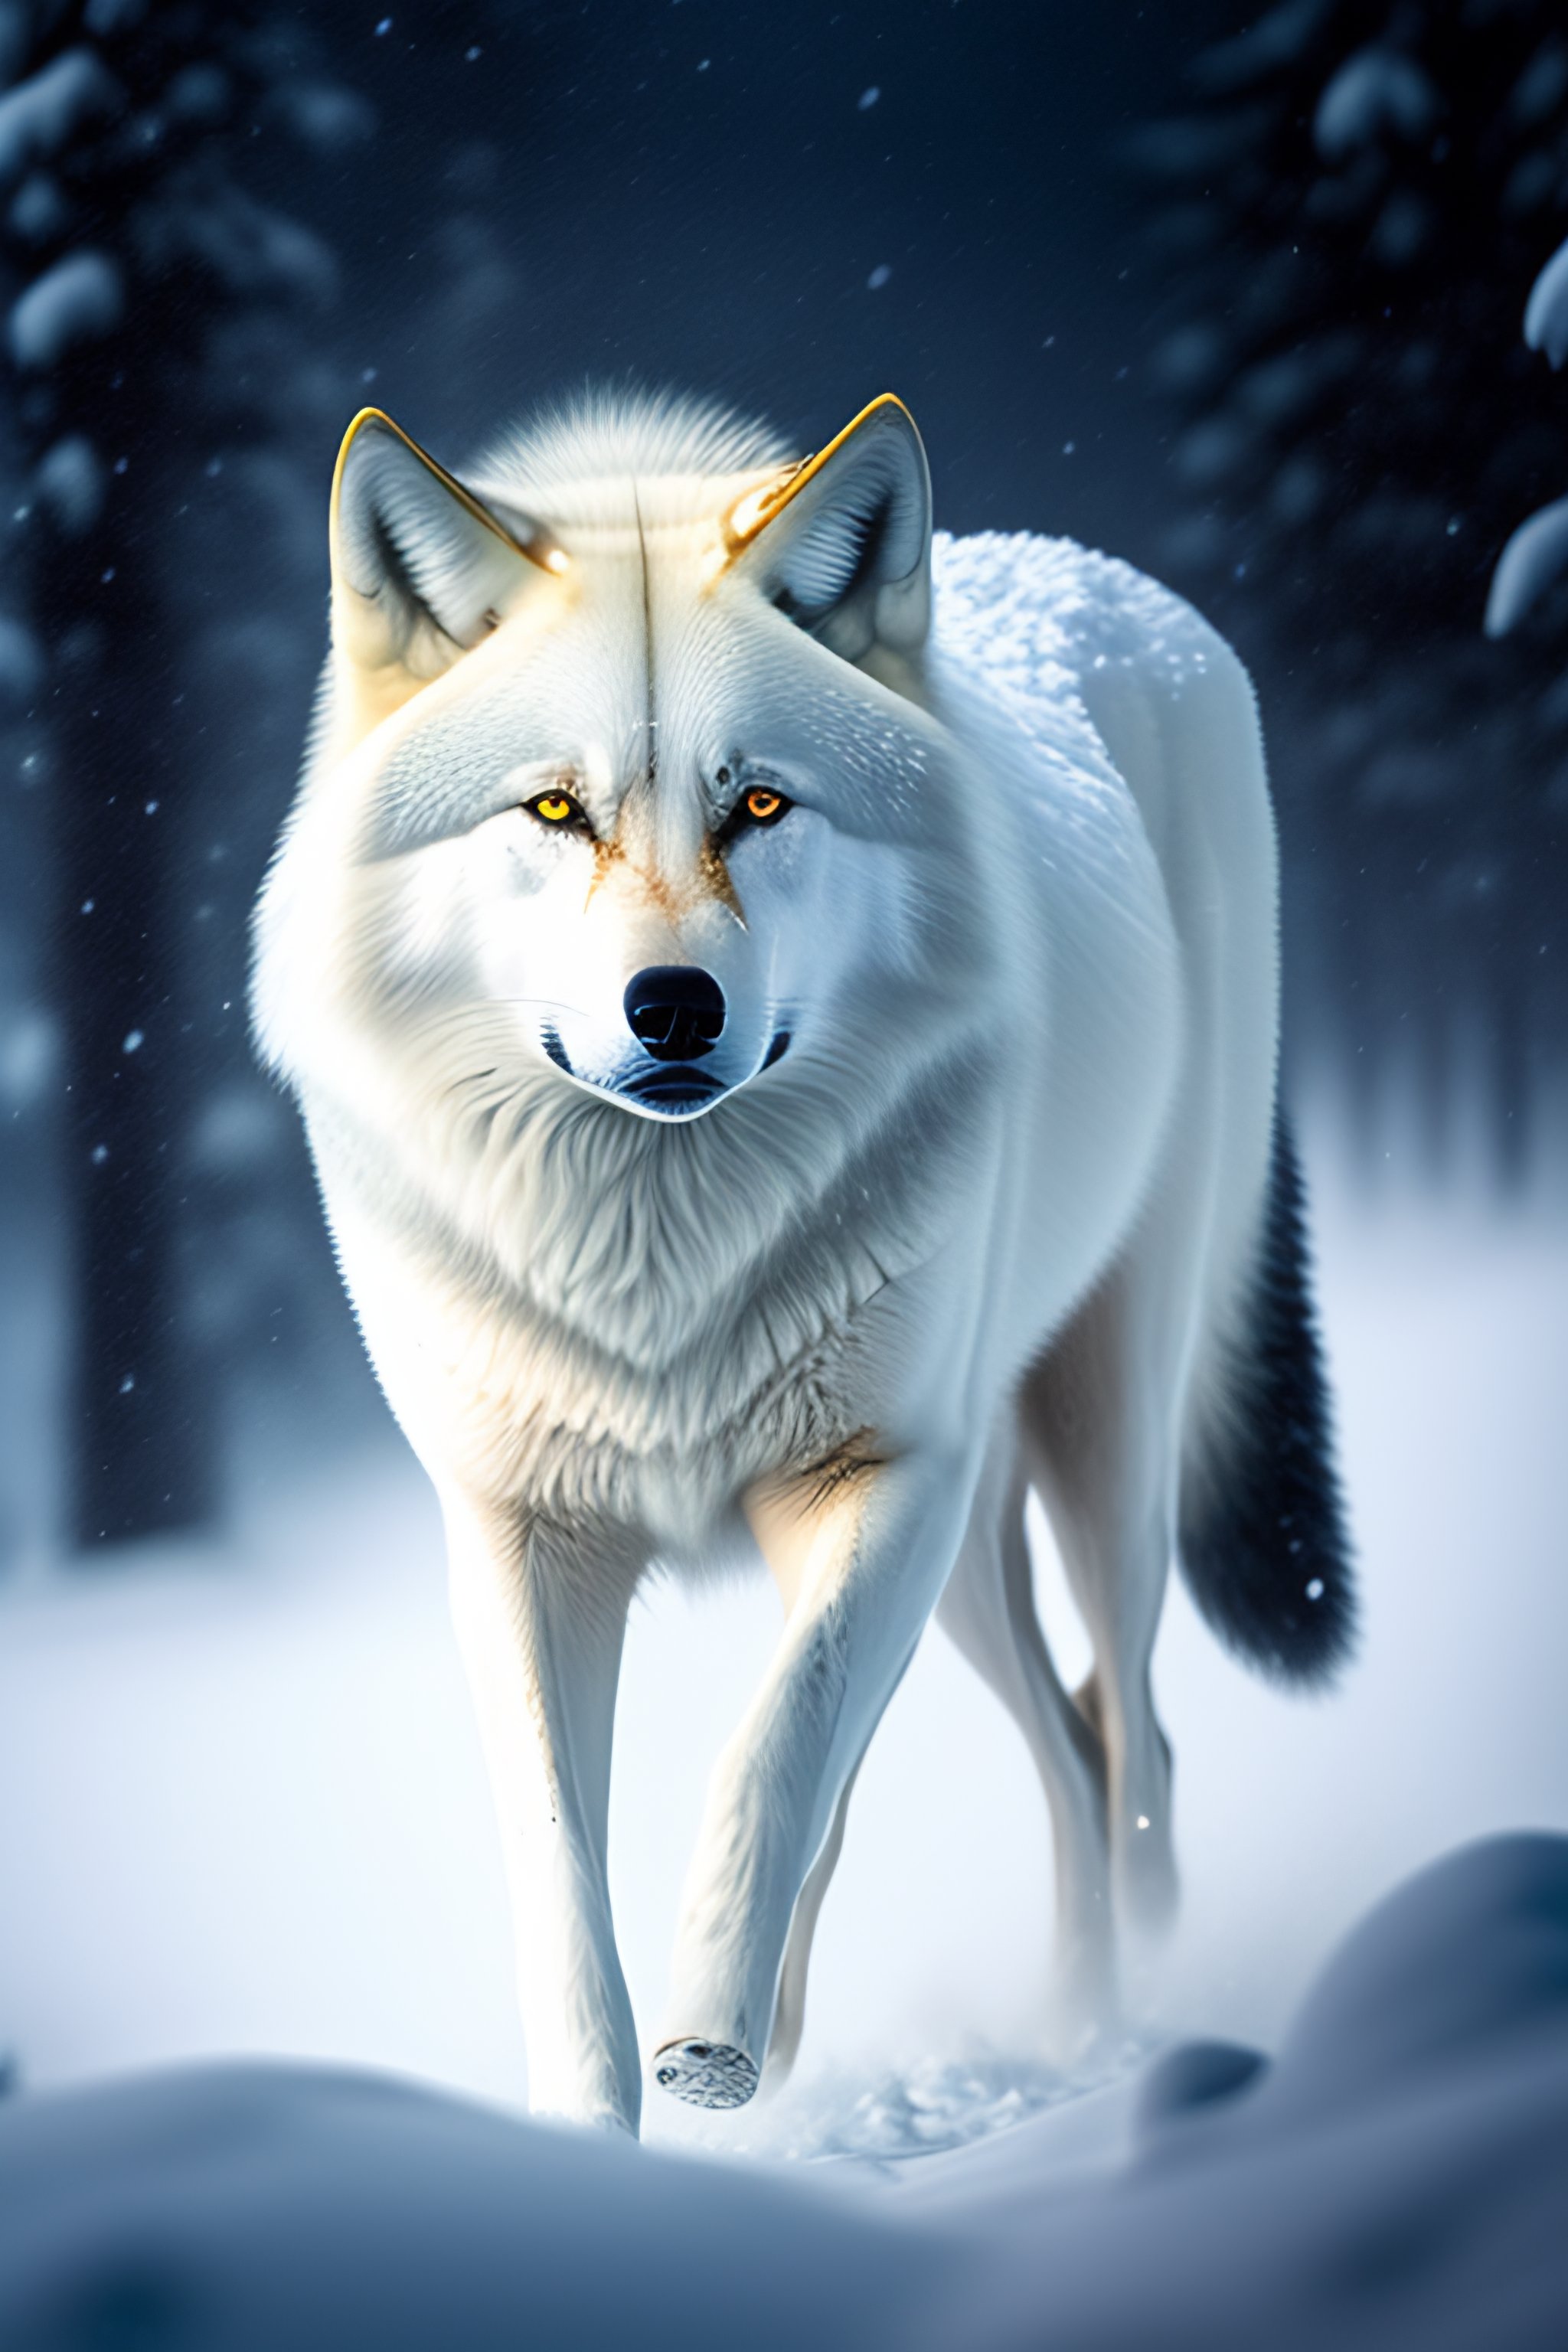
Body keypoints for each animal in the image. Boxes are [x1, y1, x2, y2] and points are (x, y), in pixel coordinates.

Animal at [252, 389, 1352, 2136]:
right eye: (554, 809)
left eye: (757, 804)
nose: (673, 1007)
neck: (656, 1256)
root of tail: (1100, 572)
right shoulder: (515, 1530)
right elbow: (566, 1861)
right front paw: (602, 2124)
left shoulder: (881, 1477)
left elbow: (770, 1751)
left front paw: (706, 2032)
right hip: (967, 1545)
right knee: (1064, 1736)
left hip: (1087, 1441)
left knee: (1128, 1739)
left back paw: (1107, 2030)